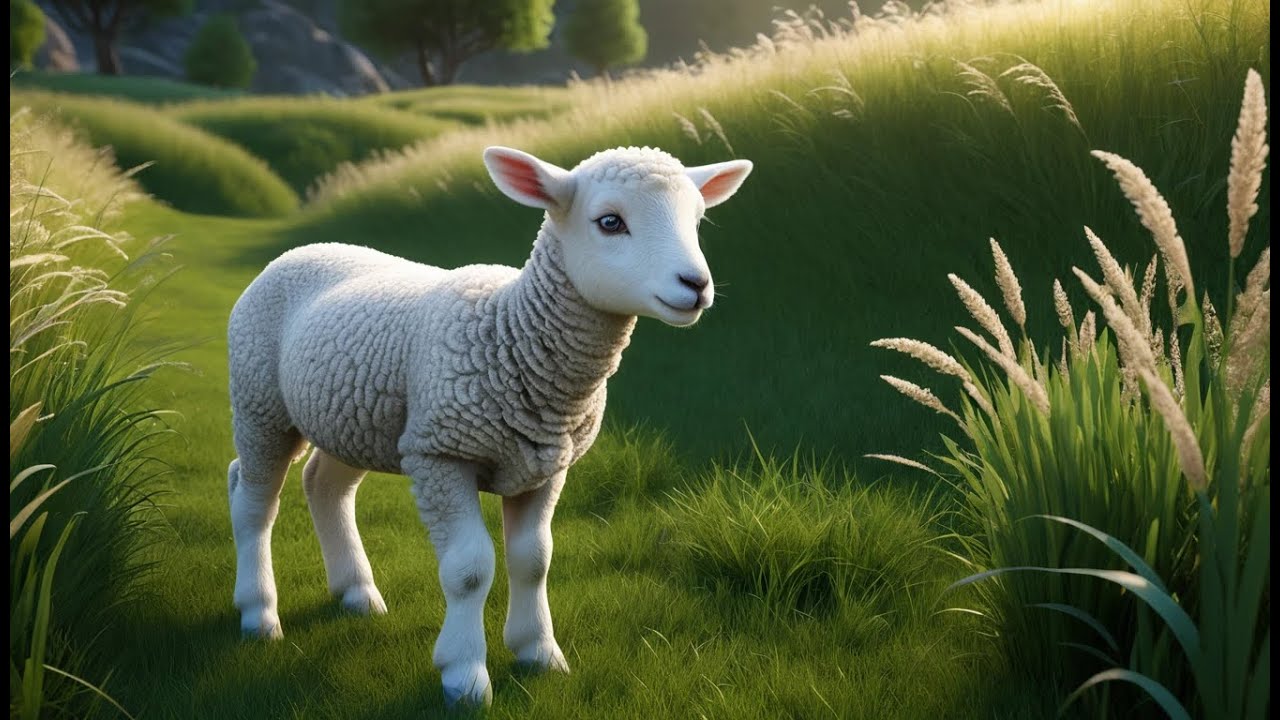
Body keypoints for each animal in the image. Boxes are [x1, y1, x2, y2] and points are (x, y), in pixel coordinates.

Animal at [225, 145, 753, 706]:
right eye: (610, 222)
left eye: (697, 220)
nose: (696, 285)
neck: (511, 331)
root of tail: (304, 249)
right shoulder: (440, 453)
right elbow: (469, 569)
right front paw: (464, 674)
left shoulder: (544, 464)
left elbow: (534, 559)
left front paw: (538, 652)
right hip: (260, 401)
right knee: (254, 498)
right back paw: (259, 613)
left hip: (354, 418)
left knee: (324, 485)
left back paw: (356, 593)